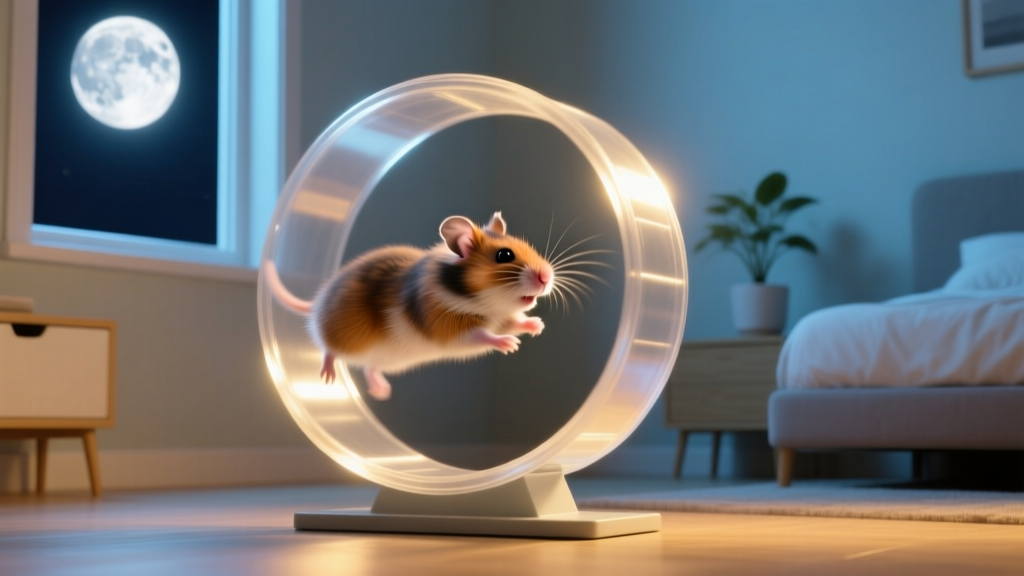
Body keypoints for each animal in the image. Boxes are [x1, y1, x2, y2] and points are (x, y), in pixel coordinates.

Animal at [264, 212, 554, 401]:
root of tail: (317, 303)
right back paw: (327, 377)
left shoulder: (502, 317)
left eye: (526, 245)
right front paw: (510, 345)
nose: (547, 277)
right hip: (344, 335)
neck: (481, 302)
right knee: (328, 349)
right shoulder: (448, 327)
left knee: (369, 367)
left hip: (387, 358)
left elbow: (515, 321)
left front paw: (538, 326)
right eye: (504, 255)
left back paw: (382, 392)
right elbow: (482, 335)